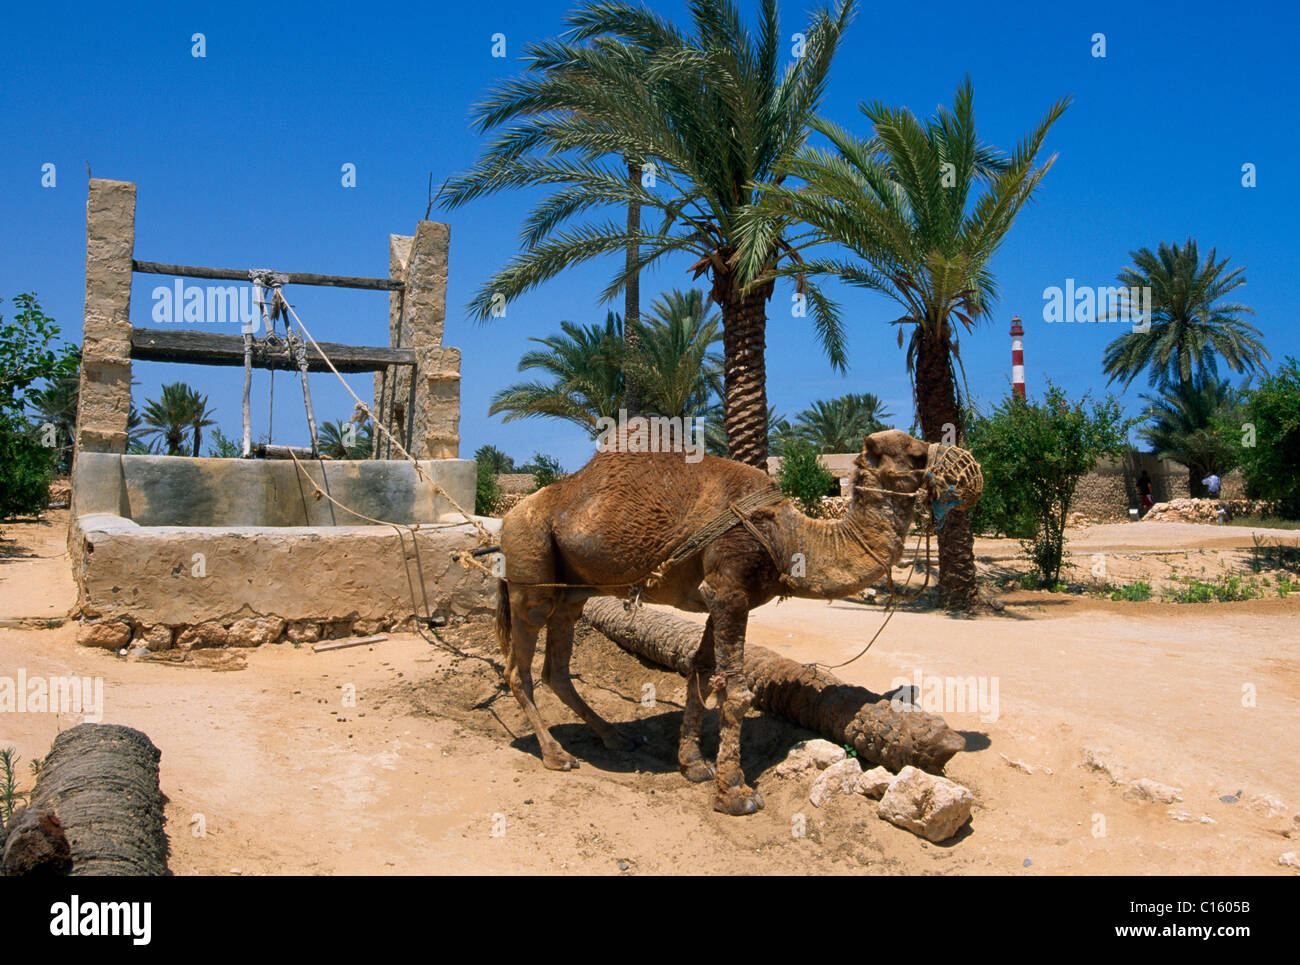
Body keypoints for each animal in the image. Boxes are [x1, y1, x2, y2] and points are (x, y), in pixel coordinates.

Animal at [495, 429, 982, 816]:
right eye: (917, 454)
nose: (970, 469)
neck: (788, 537)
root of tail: (508, 515)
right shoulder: (729, 588)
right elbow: (737, 691)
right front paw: (735, 792)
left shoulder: (721, 595)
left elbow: (700, 670)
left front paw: (694, 765)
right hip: (529, 564)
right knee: (519, 666)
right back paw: (556, 754)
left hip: (572, 587)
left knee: (556, 667)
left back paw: (613, 738)